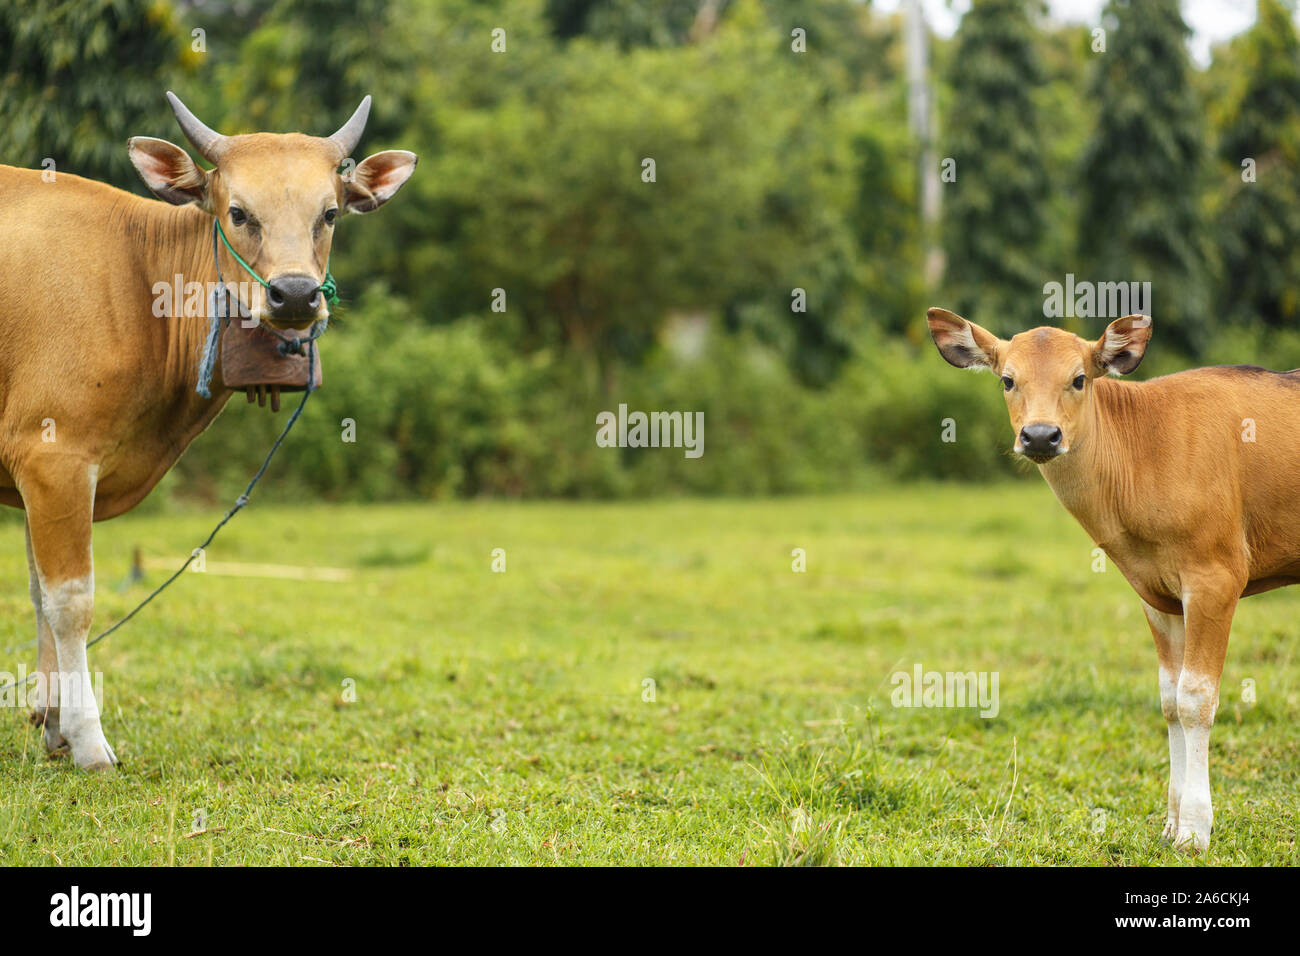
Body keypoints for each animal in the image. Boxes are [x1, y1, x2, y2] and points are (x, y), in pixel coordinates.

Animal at [0, 93, 417, 769]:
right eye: (239, 213)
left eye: (329, 214)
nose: (294, 295)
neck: (136, 280)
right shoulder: (54, 459)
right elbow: (70, 603)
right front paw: (89, 739)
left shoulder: (34, 477)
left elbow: (38, 595)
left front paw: (54, 722)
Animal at [927, 306, 1299, 853]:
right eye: (1007, 380)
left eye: (1079, 378)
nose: (1041, 436)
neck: (1145, 453)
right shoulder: (1158, 595)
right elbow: (1169, 699)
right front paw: (1170, 824)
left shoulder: (1216, 577)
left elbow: (1196, 698)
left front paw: (1194, 830)